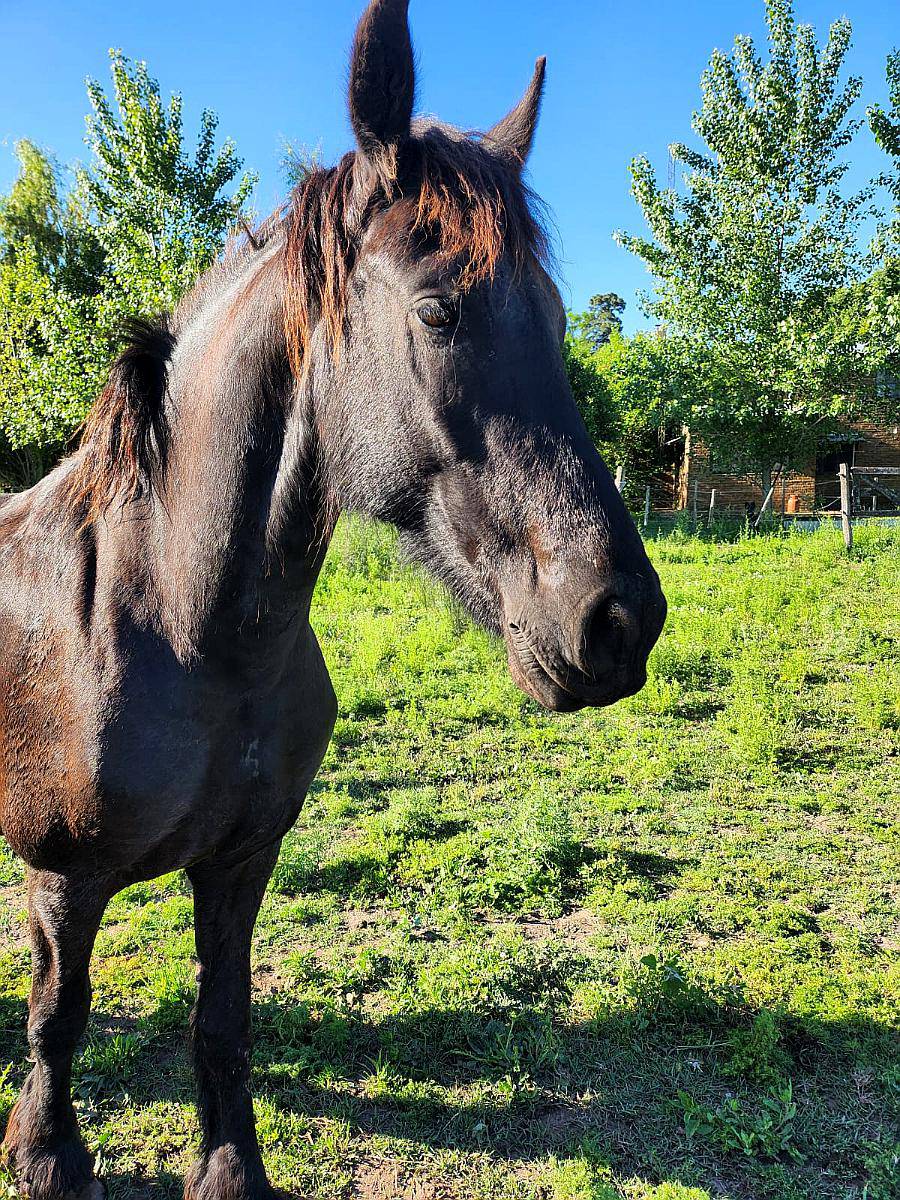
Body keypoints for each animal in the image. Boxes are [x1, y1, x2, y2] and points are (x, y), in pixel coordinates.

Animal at [0, 2, 666, 1196]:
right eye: (439, 311)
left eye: (554, 317)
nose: (618, 620)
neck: (184, 629)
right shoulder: (64, 880)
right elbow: (58, 1017)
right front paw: (46, 1152)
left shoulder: (243, 862)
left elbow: (222, 1027)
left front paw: (228, 1167)